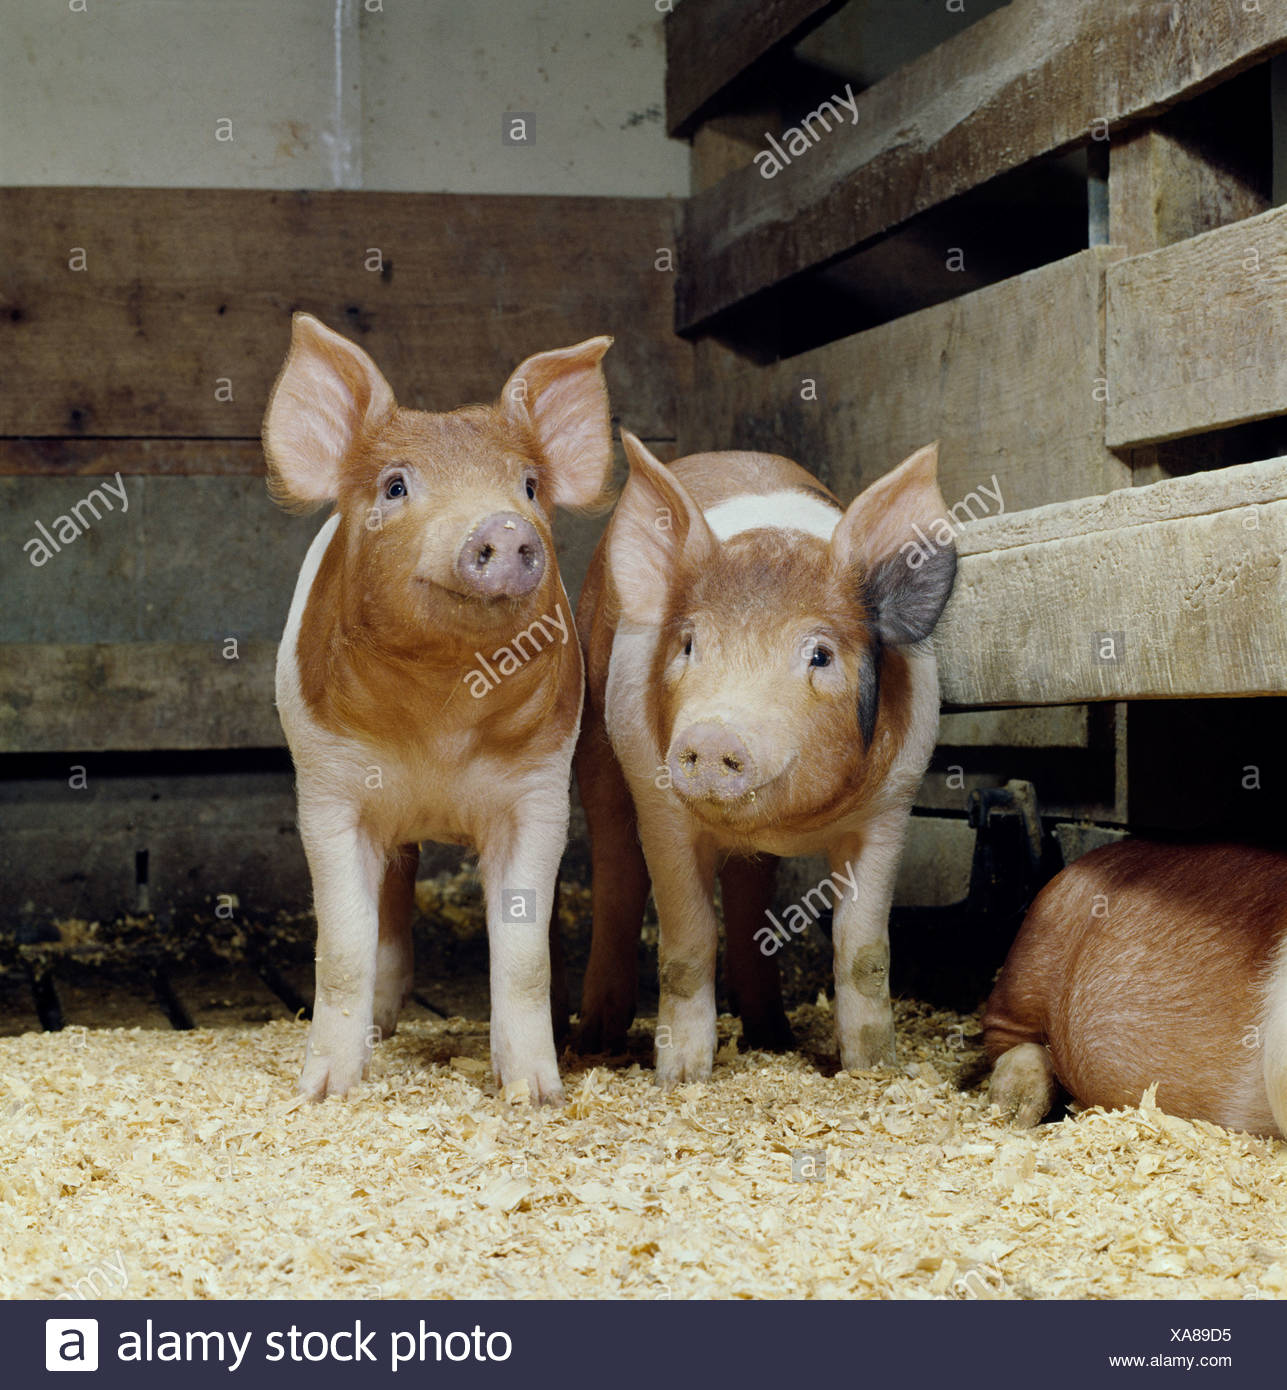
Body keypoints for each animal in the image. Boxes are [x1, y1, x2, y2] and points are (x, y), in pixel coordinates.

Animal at [263, 312, 613, 1103]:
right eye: (395, 485)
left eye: (529, 486)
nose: (504, 528)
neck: (442, 719)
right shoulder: (327, 789)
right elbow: (345, 945)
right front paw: (323, 1092)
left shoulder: (540, 792)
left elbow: (522, 952)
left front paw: (536, 1094)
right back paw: (383, 1027)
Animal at [574, 433, 957, 1082]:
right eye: (688, 644)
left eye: (821, 655)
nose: (715, 735)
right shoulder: (662, 808)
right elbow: (687, 942)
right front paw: (682, 1077)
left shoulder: (892, 806)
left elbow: (864, 949)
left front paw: (874, 1069)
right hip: (598, 749)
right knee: (616, 874)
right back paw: (593, 1040)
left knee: (749, 889)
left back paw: (772, 1036)